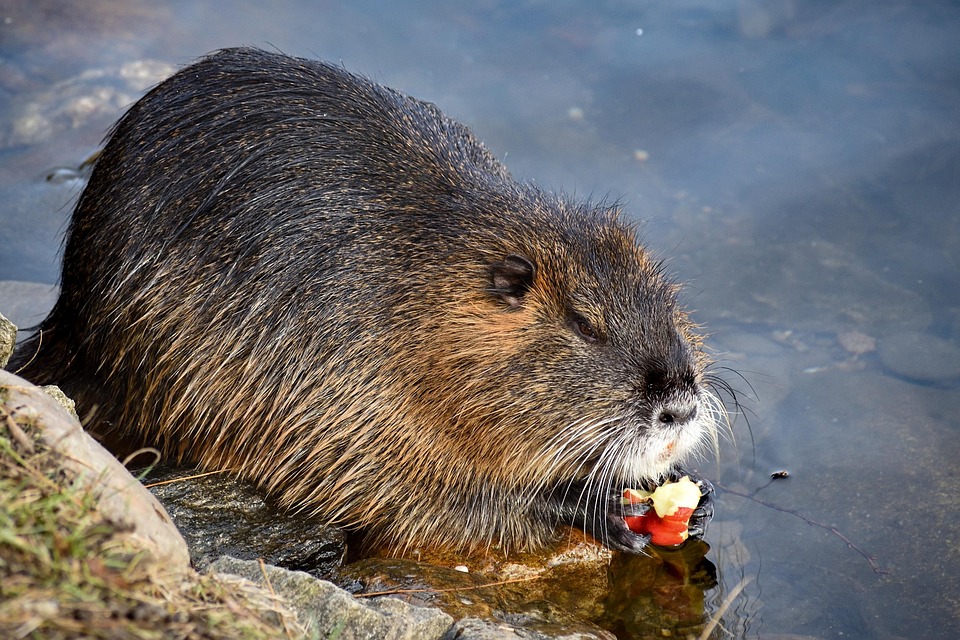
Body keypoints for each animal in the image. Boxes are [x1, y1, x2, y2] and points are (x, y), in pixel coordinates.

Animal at [13, 47, 723, 554]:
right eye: (584, 324)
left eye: (664, 300)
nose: (680, 405)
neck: (413, 280)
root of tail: (60, 326)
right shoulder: (333, 388)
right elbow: (403, 496)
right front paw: (599, 508)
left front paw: (691, 495)